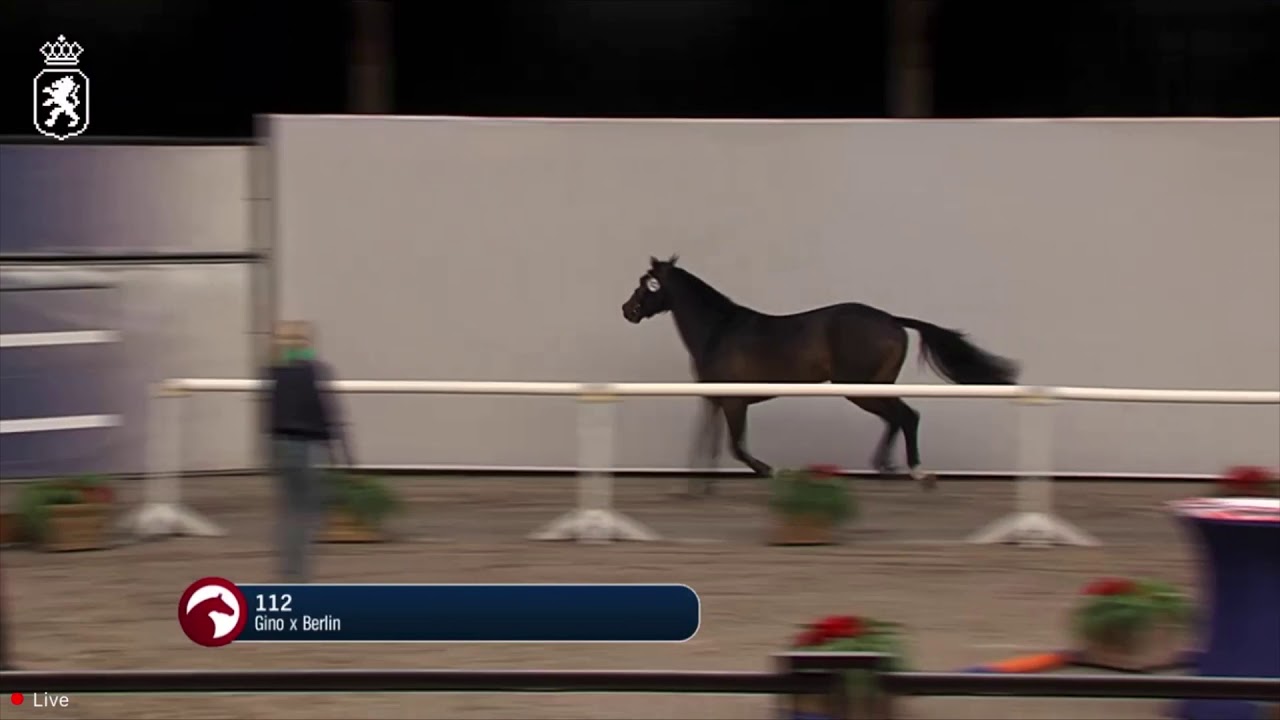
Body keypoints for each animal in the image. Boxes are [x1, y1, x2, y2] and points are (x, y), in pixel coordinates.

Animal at [621, 255, 1020, 494]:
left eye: (645, 282)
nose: (627, 310)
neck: (719, 330)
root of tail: (892, 320)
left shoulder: (735, 402)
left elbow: (736, 447)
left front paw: (772, 471)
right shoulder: (716, 398)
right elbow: (708, 442)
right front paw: (698, 489)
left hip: (860, 387)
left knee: (908, 416)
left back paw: (916, 472)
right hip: (871, 386)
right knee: (899, 418)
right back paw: (887, 467)